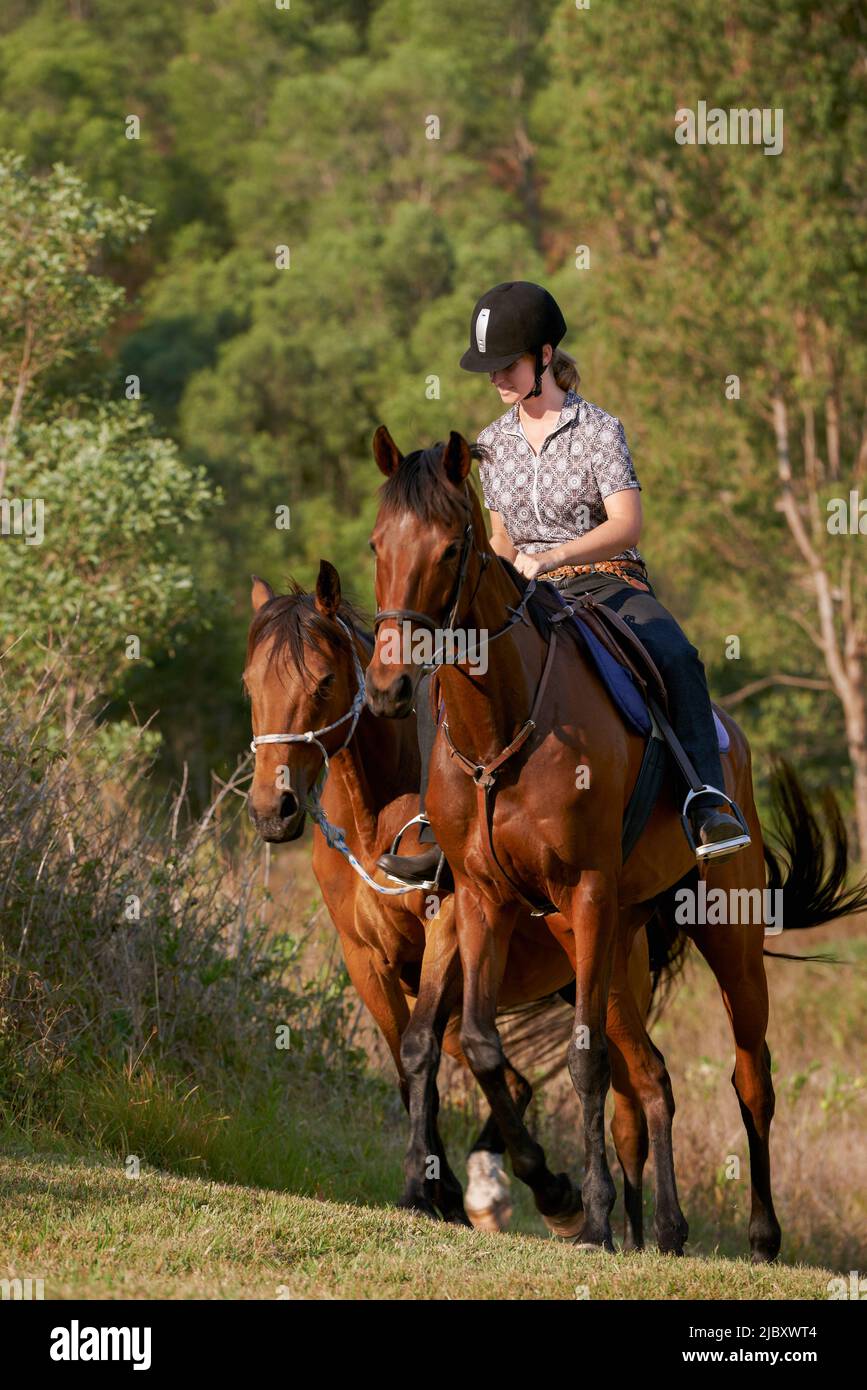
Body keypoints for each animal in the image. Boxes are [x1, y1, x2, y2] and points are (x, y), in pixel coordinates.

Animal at [244, 563, 673, 1241]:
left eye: (325, 680)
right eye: (250, 683)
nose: (271, 810)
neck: (374, 820)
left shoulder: (446, 927)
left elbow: (419, 1051)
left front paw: (428, 1189)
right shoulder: (364, 959)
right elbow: (408, 1066)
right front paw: (436, 1187)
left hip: (607, 982)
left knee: (641, 1086)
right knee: (580, 1084)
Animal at [364, 426, 867, 1259]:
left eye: (449, 547)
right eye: (378, 544)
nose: (387, 687)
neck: (502, 729)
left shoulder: (586, 891)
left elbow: (583, 1059)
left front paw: (588, 1213)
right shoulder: (481, 899)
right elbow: (479, 1043)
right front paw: (550, 1187)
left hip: (718, 930)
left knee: (749, 1075)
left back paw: (761, 1236)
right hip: (614, 940)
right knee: (653, 1075)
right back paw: (664, 1228)